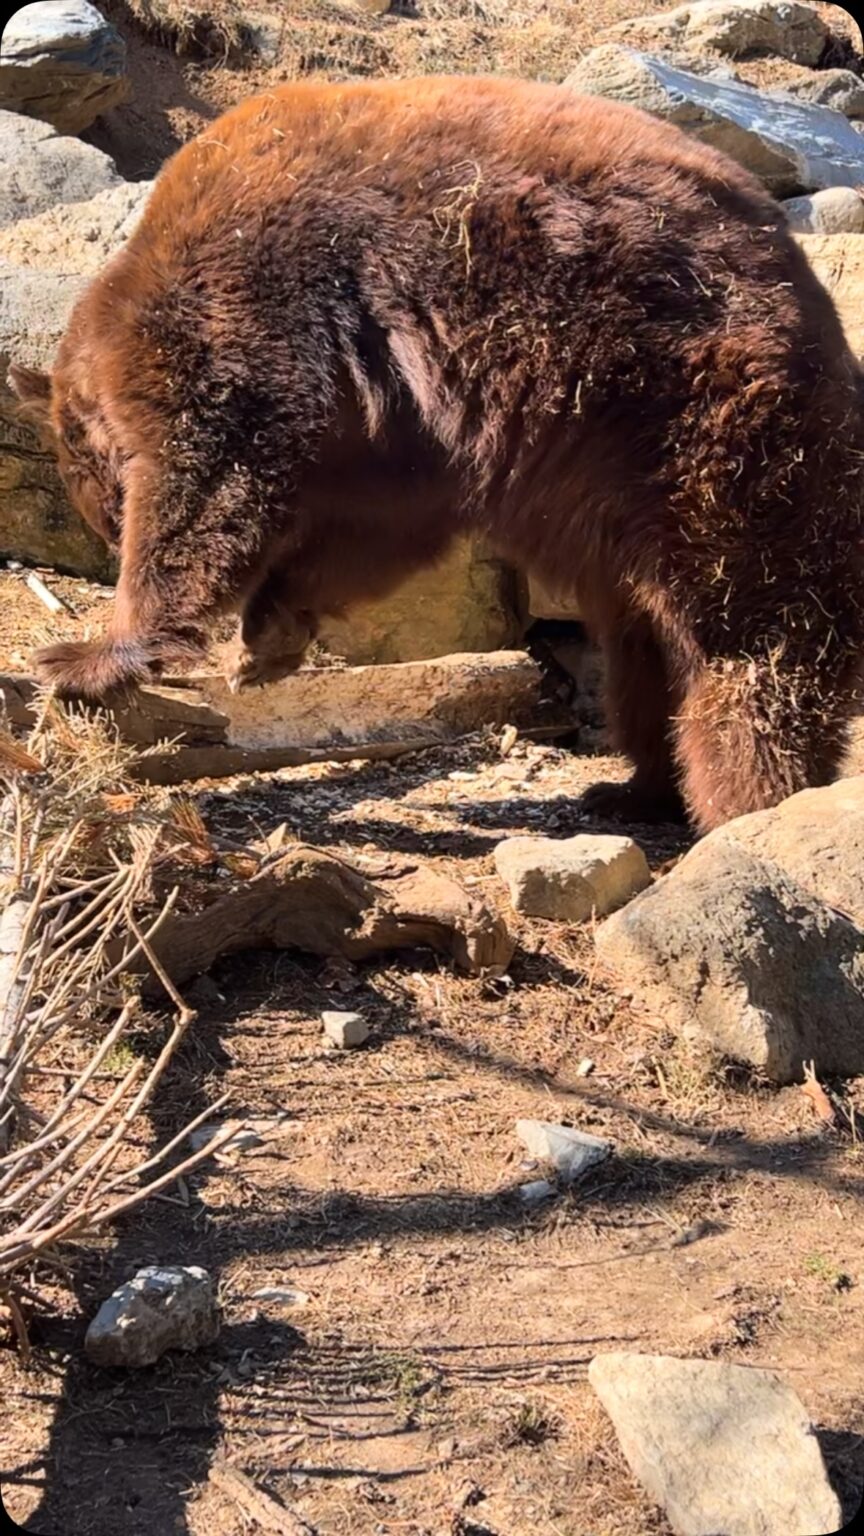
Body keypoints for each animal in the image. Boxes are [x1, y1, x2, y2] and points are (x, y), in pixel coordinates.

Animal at [9, 75, 864, 833]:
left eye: (101, 509)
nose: (106, 528)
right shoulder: (400, 432)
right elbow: (373, 535)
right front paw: (267, 642)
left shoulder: (263, 314)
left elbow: (207, 480)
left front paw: (84, 655)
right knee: (643, 651)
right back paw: (638, 788)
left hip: (694, 410)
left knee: (750, 621)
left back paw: (747, 796)